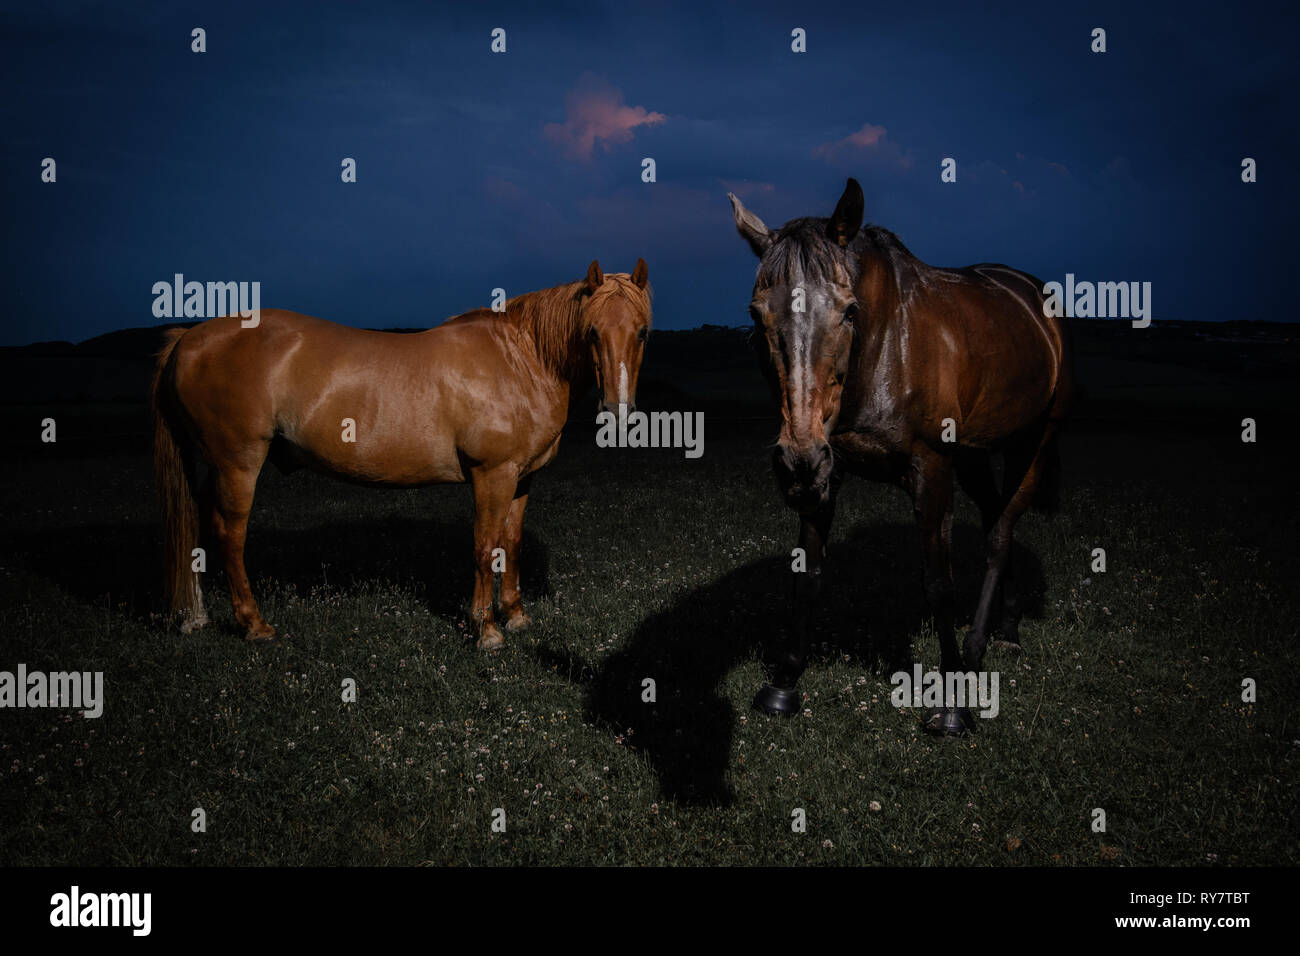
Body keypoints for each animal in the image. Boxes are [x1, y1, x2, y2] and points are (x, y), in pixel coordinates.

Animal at [152, 258, 651, 651]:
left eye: (643, 332)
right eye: (591, 331)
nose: (617, 412)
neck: (520, 360)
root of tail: (189, 339)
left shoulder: (521, 478)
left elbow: (510, 544)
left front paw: (516, 615)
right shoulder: (493, 475)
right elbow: (484, 545)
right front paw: (487, 630)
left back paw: (195, 618)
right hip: (238, 465)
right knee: (229, 536)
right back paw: (254, 624)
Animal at [729, 178, 1072, 734]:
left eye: (849, 310)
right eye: (756, 314)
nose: (796, 460)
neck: (886, 348)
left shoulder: (930, 472)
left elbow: (938, 583)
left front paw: (952, 705)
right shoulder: (828, 474)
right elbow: (809, 576)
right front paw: (783, 684)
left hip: (1033, 444)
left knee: (1000, 534)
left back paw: (979, 650)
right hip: (972, 458)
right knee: (996, 518)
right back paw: (1006, 630)